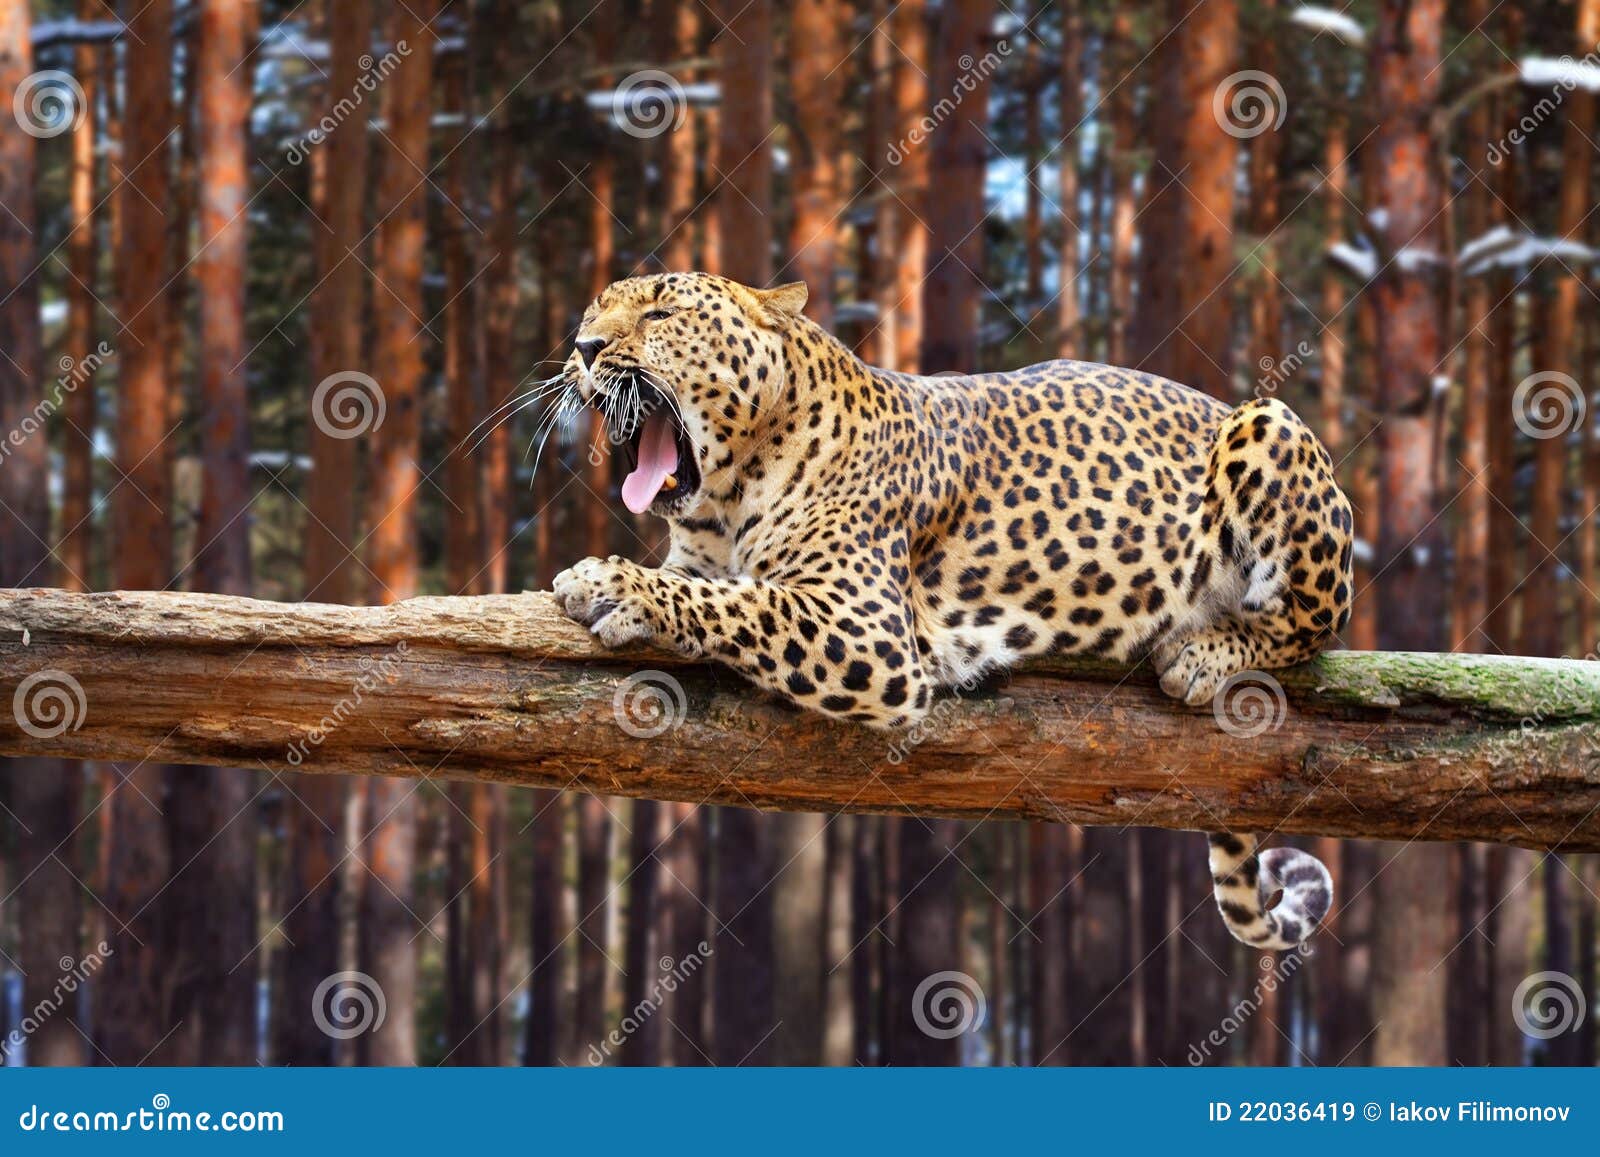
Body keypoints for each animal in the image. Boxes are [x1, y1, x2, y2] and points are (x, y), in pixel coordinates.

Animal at [550, 272, 1350, 951]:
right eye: (592, 311)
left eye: (661, 313)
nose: (583, 349)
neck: (727, 496)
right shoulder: (705, 558)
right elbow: (706, 584)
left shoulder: (866, 631)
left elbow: (740, 601)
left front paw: (614, 584)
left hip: (1269, 424)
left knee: (1310, 622)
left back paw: (1202, 650)